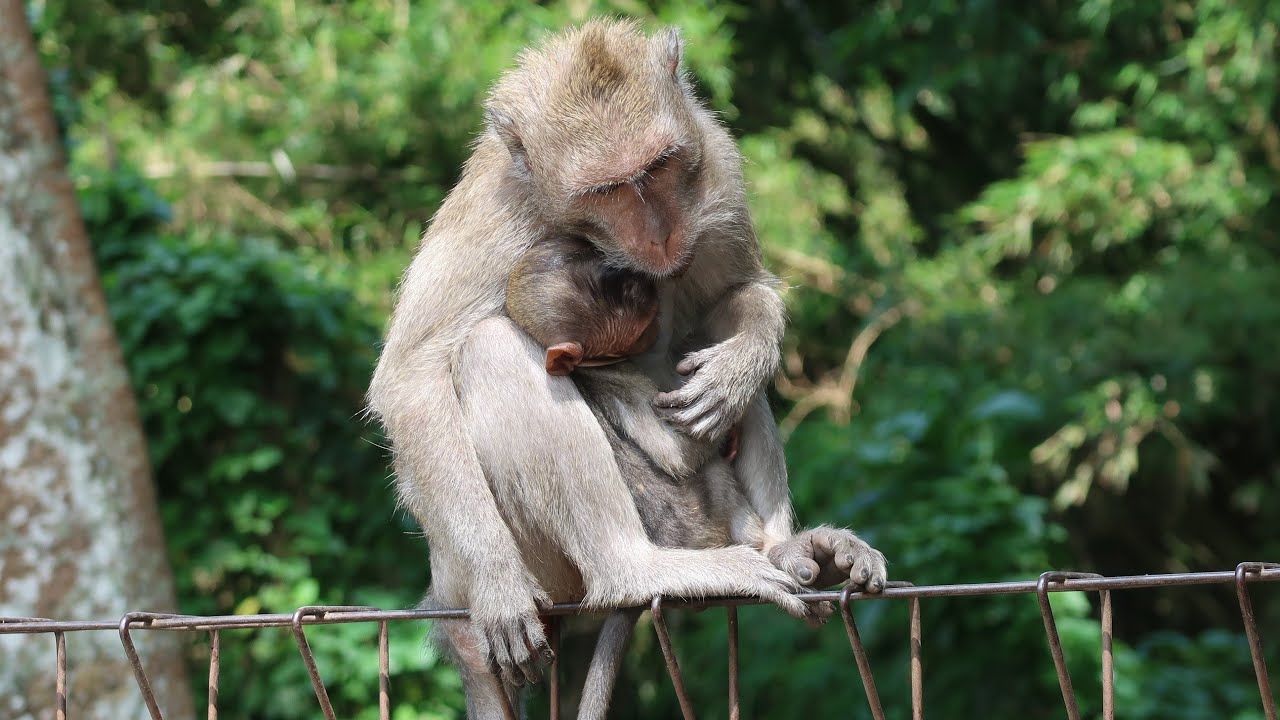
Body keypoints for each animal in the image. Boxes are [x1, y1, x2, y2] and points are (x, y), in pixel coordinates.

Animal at [367, 19, 888, 718]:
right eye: (607, 190)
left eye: (659, 167)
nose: (660, 237)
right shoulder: (497, 213)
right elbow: (410, 377)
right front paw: (500, 588)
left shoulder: (716, 165)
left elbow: (736, 294)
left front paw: (741, 361)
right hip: (540, 568)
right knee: (491, 347)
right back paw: (634, 570)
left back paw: (786, 546)